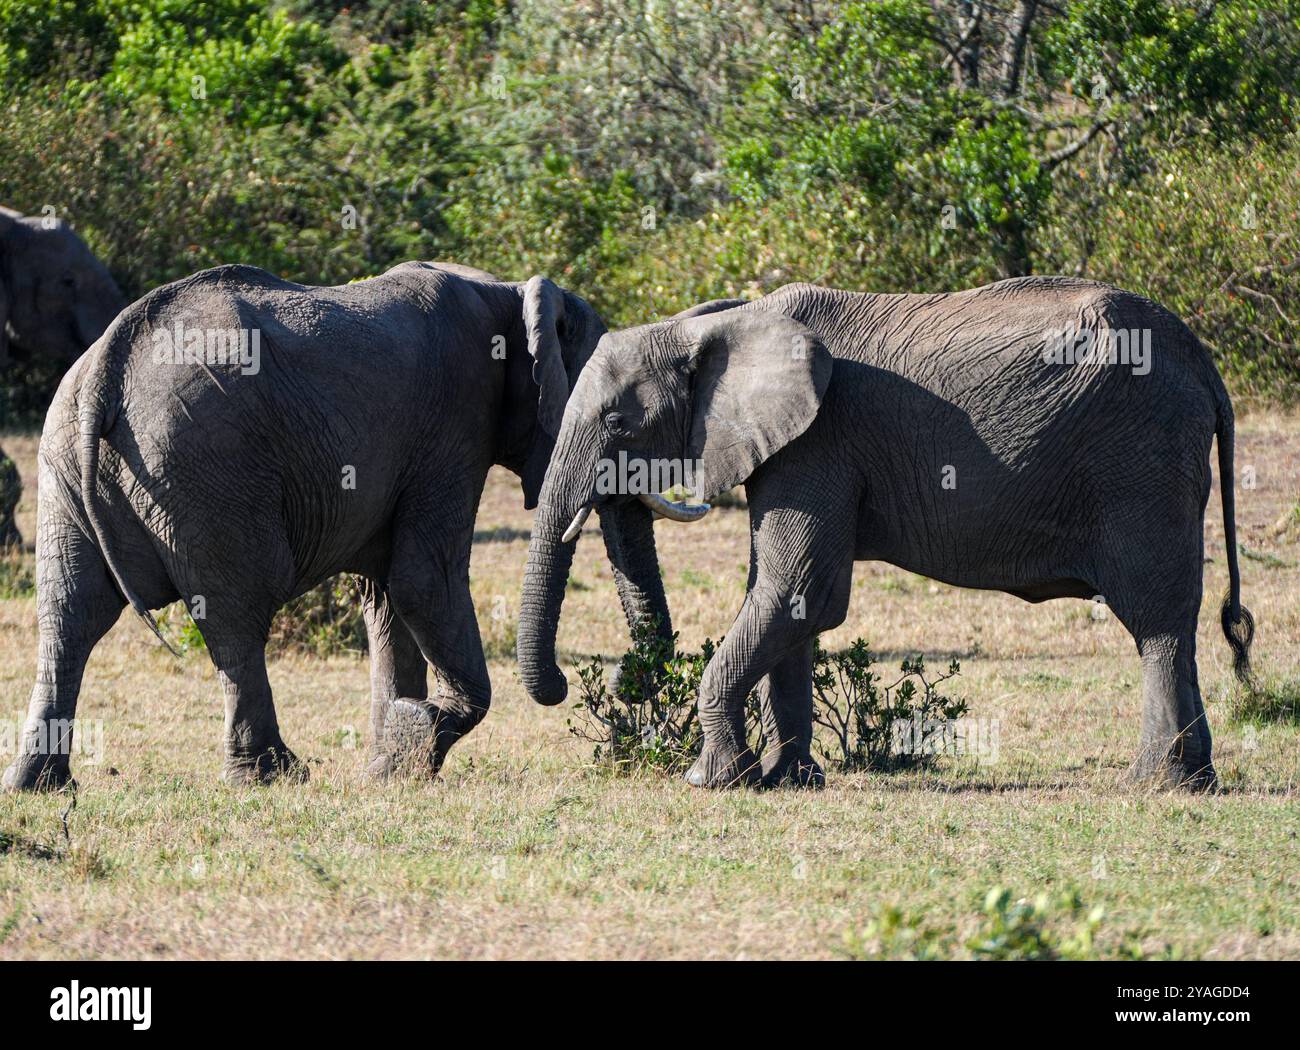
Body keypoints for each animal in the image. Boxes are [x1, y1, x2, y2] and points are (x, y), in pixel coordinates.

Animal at [2, 261, 673, 791]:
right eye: (614, 419)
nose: (584, 681)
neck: (508, 294)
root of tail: (107, 363)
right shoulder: (452, 429)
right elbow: (422, 580)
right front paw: (415, 733)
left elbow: (387, 597)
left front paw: (390, 764)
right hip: (201, 465)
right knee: (235, 613)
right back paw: (272, 773)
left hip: (67, 460)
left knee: (70, 615)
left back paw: (41, 785)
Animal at [516, 277, 1254, 793]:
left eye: (617, 422)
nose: (562, 685)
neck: (716, 326)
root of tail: (1206, 366)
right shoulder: (794, 449)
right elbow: (792, 600)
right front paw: (789, 780)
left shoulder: (819, 441)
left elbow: (798, 590)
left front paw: (713, 781)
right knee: (1172, 622)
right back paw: (1192, 782)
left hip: (1141, 463)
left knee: (1154, 619)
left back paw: (1152, 784)